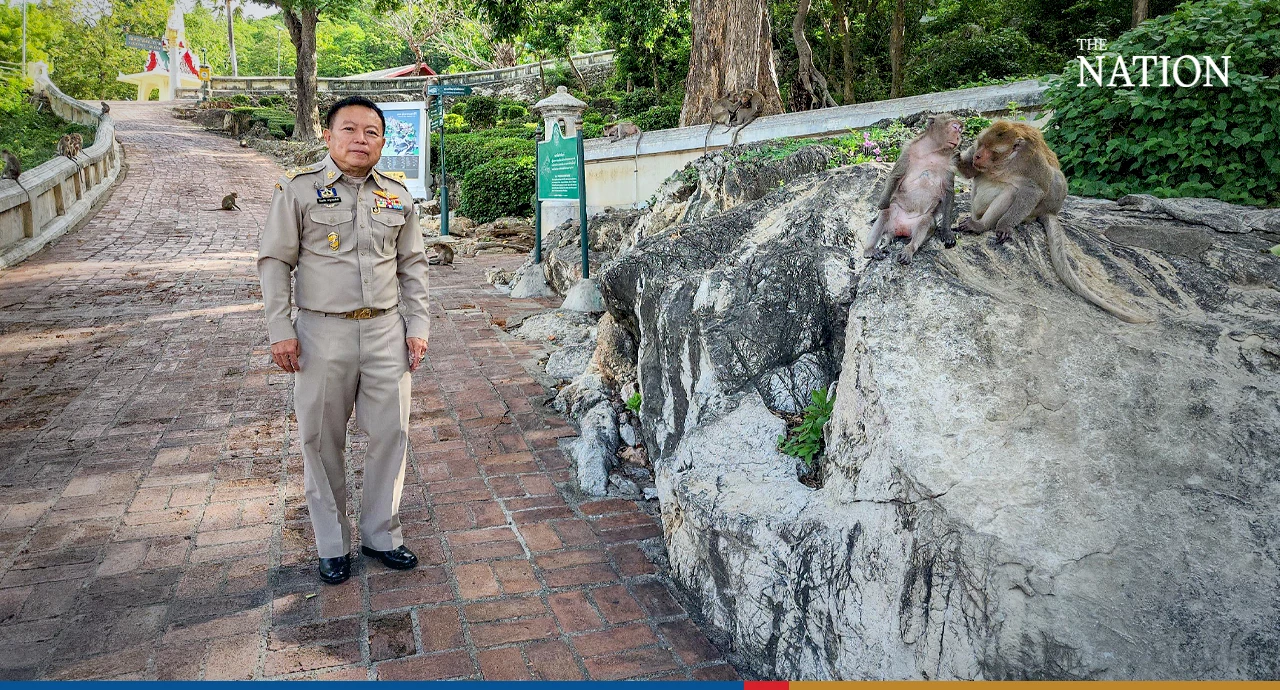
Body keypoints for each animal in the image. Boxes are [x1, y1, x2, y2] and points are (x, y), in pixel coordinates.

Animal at [862, 113, 962, 265]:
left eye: (960, 129)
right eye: (954, 127)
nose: (959, 136)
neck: (934, 150)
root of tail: (900, 230)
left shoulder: (953, 159)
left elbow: (948, 190)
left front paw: (946, 232)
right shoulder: (908, 150)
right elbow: (896, 176)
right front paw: (883, 203)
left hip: (918, 224)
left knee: (925, 221)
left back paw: (908, 250)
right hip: (894, 216)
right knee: (886, 214)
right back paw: (870, 250)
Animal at [955, 120, 1150, 323]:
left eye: (991, 149)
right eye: (981, 145)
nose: (977, 155)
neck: (1006, 163)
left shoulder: (1031, 163)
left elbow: (1034, 190)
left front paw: (1005, 225)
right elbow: (969, 171)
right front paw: (954, 154)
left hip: (1040, 207)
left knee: (1018, 189)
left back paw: (981, 225)